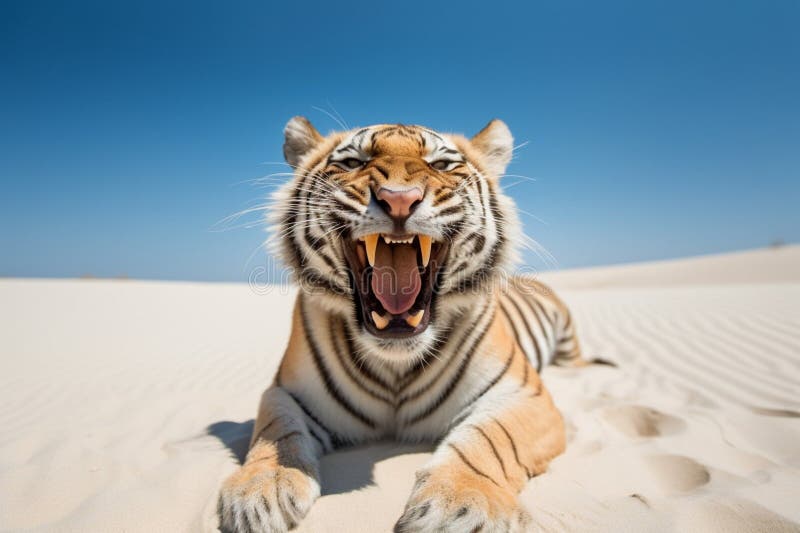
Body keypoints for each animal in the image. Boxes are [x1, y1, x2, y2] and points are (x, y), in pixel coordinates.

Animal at [218, 117, 593, 532]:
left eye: (442, 165)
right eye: (353, 162)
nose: (399, 199)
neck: (395, 363)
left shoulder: (524, 395)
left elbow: (490, 439)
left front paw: (460, 504)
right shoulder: (287, 392)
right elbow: (276, 433)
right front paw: (260, 491)